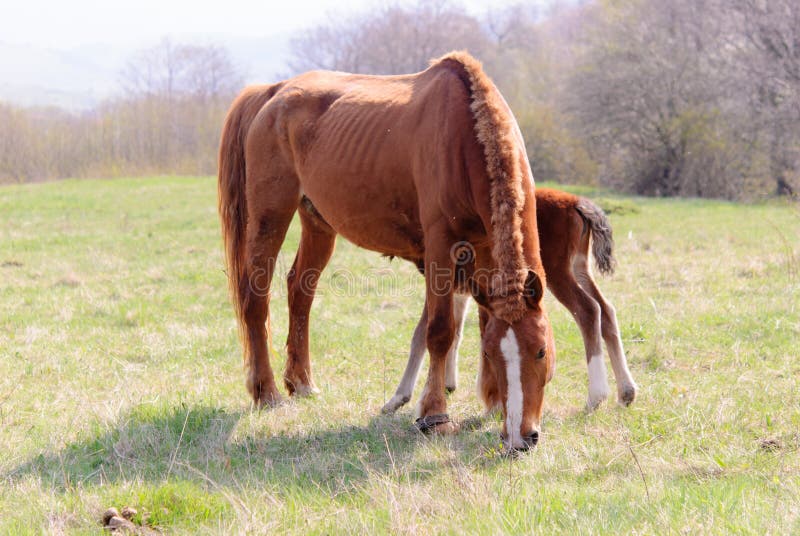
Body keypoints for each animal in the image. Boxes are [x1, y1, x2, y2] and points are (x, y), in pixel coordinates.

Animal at [218, 51, 554, 450]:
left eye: (541, 350)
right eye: (491, 353)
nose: (521, 437)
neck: (464, 134)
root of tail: (273, 92)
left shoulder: (484, 250)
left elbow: (483, 321)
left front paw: (491, 401)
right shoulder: (441, 247)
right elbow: (440, 331)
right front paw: (435, 414)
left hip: (317, 223)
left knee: (300, 291)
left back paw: (301, 382)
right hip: (271, 214)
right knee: (256, 297)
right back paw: (266, 391)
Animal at [382, 188, 638, 416]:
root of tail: (576, 202)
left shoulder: (443, 288)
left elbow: (421, 334)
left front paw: (398, 398)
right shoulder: (461, 291)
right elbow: (455, 332)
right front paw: (448, 384)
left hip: (556, 272)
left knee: (588, 310)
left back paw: (596, 397)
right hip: (579, 267)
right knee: (606, 310)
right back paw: (626, 392)